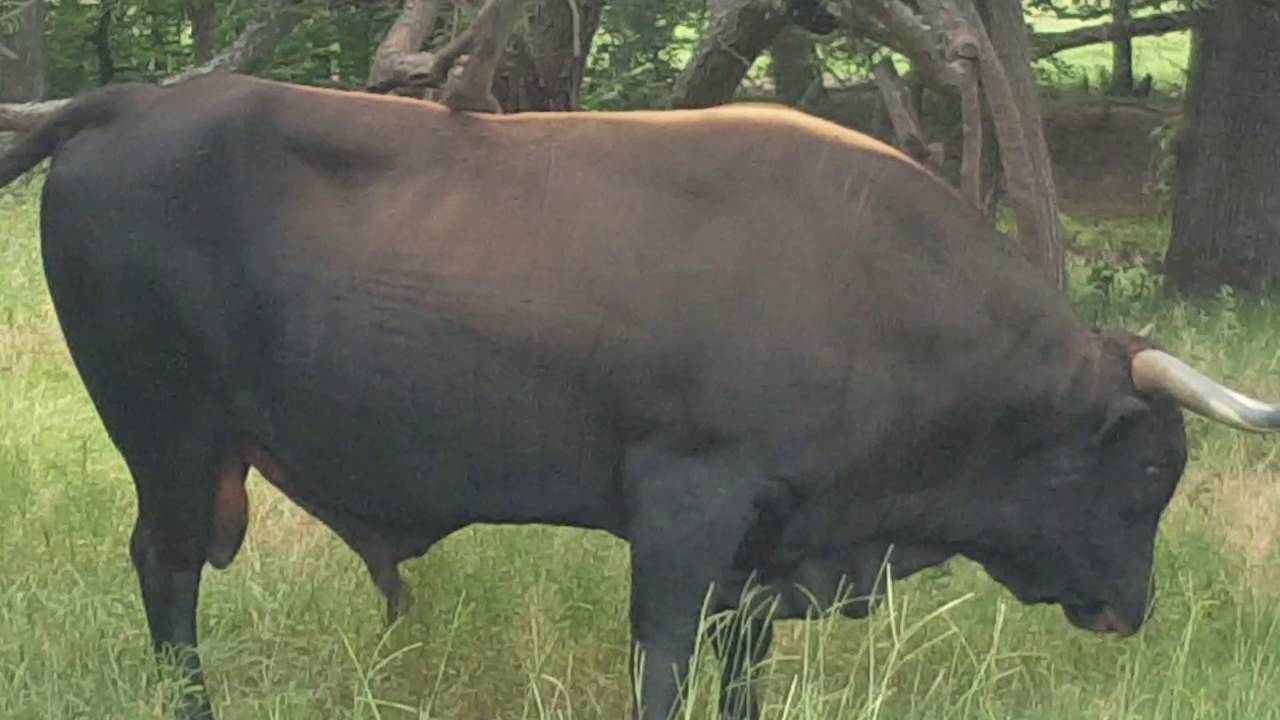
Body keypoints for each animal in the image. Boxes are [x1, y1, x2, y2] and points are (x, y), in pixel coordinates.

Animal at [2, 72, 1278, 720]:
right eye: (1148, 468)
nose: (1130, 609)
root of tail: (135, 101)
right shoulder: (683, 510)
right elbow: (663, 667)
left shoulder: (764, 555)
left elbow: (737, 675)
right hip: (169, 435)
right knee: (166, 577)